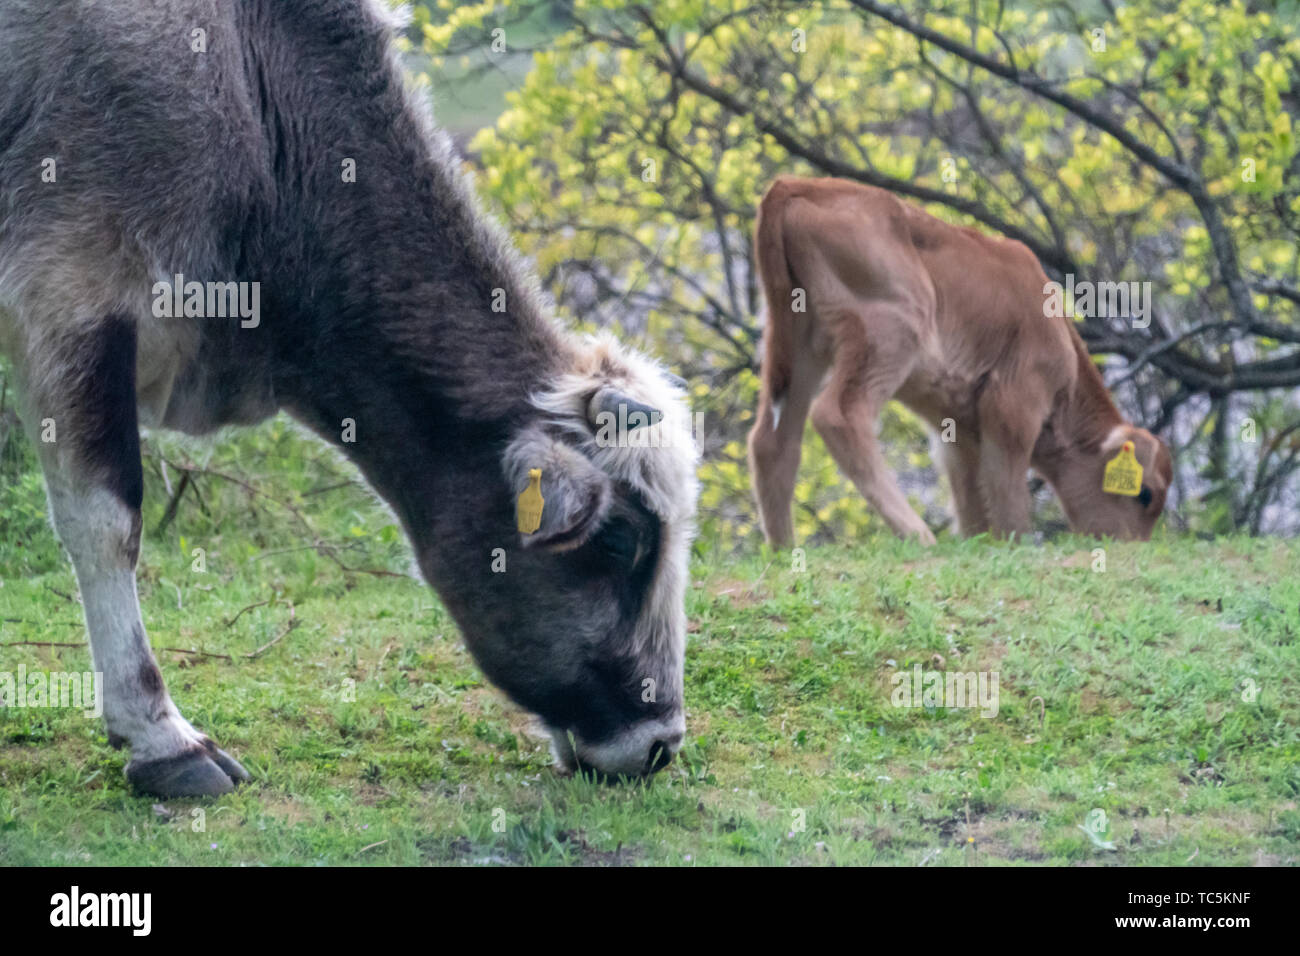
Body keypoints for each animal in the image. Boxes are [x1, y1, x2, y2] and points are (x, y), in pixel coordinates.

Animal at [748, 176, 1172, 546]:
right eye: (1145, 494)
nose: (1133, 544)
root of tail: (795, 185)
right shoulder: (1012, 409)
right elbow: (1008, 499)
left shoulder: (957, 429)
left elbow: (971, 502)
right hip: (893, 331)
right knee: (839, 415)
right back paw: (919, 535)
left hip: (801, 346)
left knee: (773, 440)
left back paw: (783, 548)